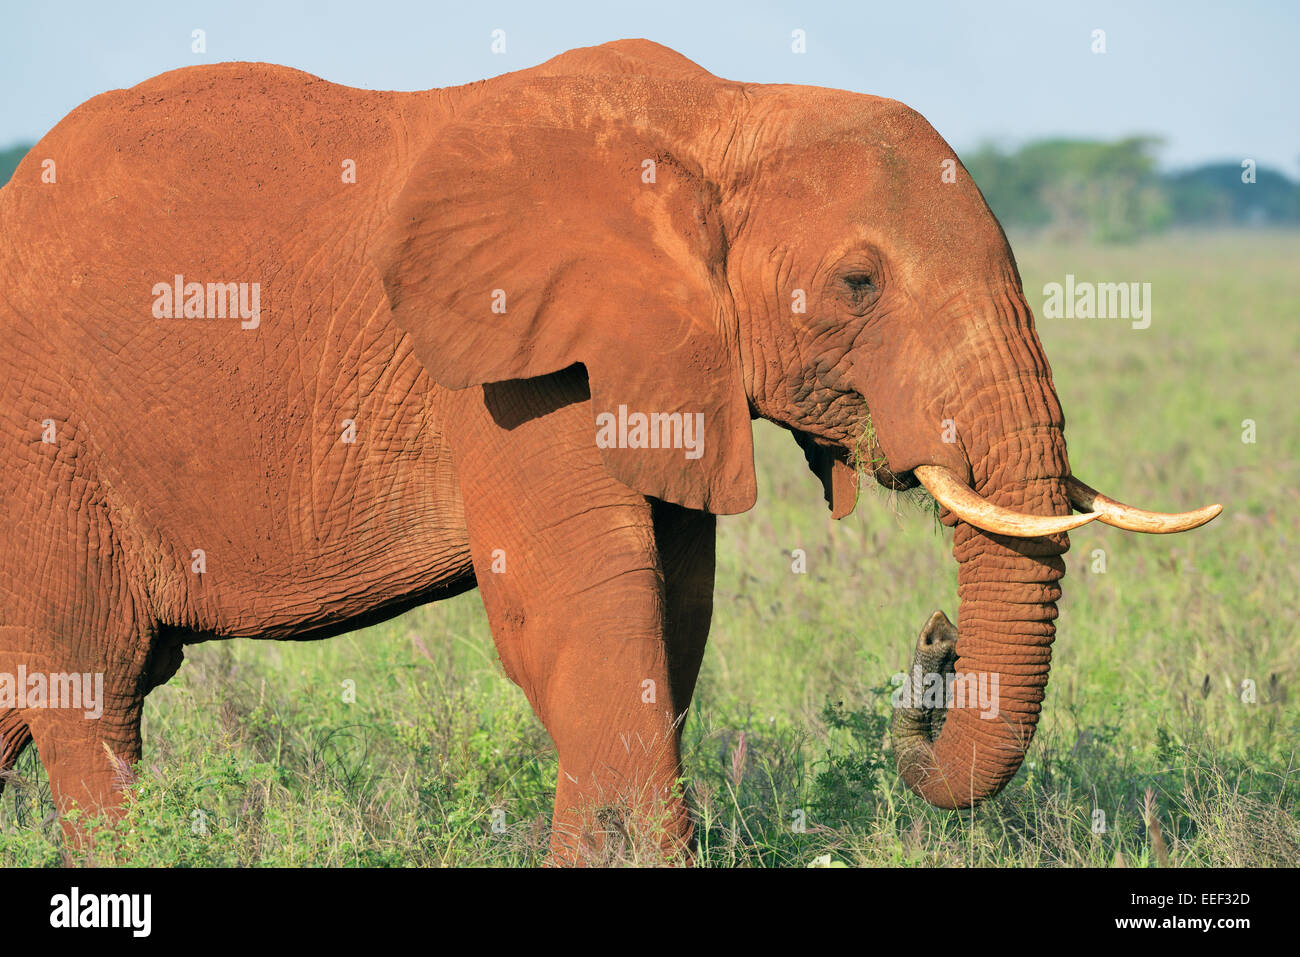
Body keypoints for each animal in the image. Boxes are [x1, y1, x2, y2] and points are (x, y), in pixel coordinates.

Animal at [0, 38, 1220, 861]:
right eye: (858, 282)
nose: (935, 642)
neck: (725, 112)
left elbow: (672, 609)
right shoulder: (518, 366)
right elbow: (580, 604)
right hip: (47, 448)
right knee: (94, 685)